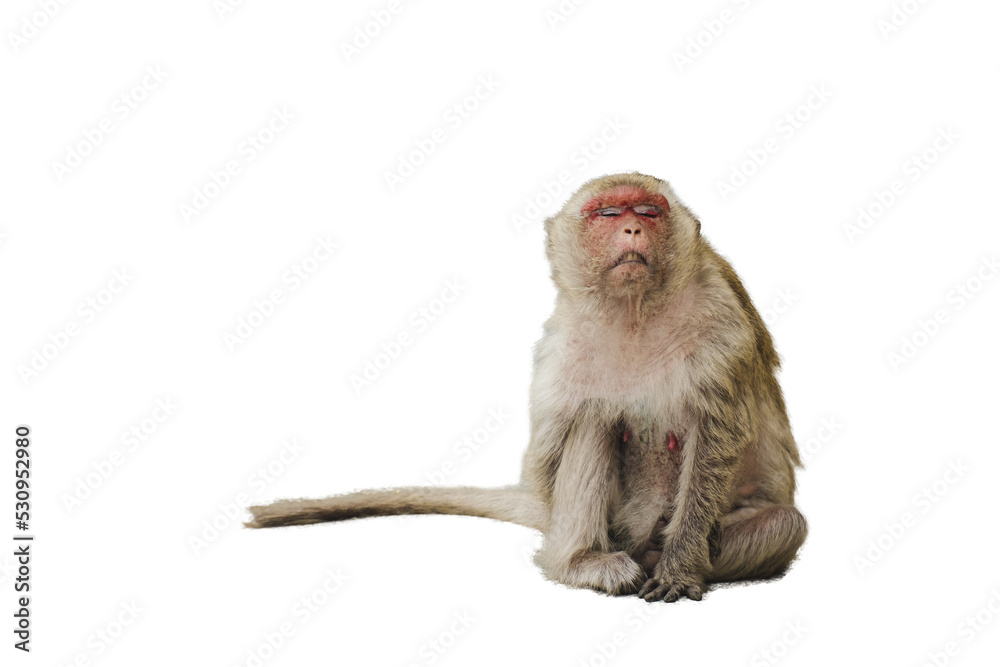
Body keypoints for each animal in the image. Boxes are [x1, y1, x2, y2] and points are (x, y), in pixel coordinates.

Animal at [247, 172, 807, 602]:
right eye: (607, 214)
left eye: (649, 212)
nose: (631, 227)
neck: (634, 312)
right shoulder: (561, 343)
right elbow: (548, 461)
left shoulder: (720, 318)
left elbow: (716, 437)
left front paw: (680, 567)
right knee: (591, 421)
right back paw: (582, 560)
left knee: (785, 525)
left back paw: (654, 554)